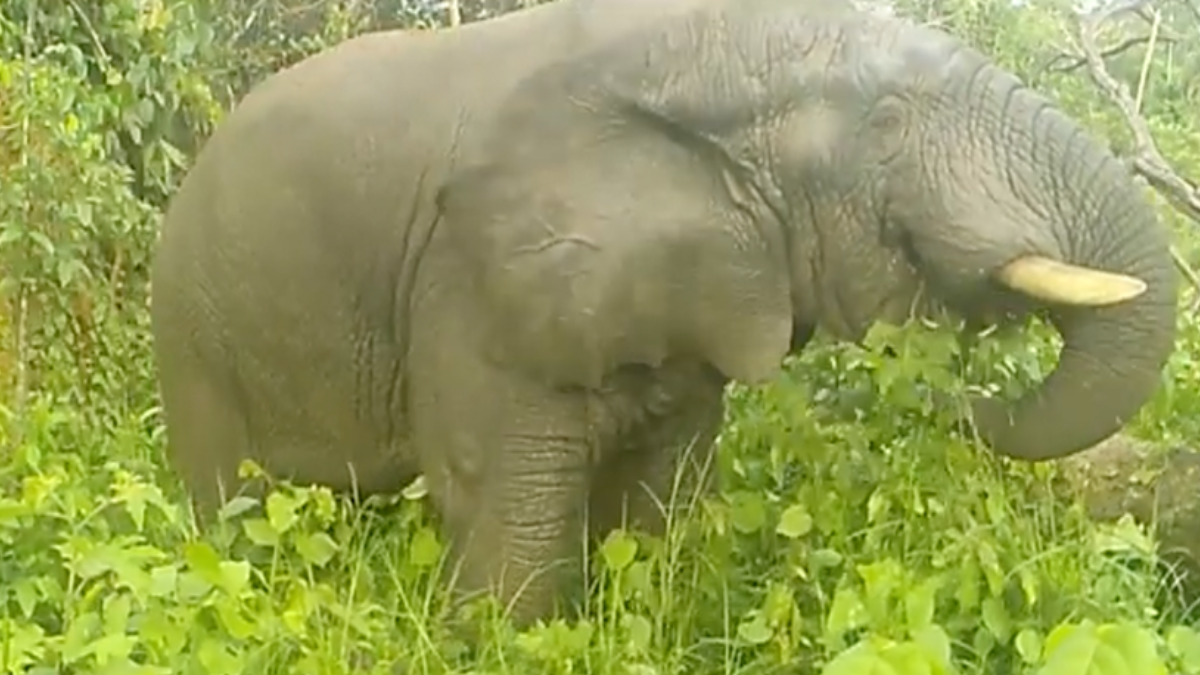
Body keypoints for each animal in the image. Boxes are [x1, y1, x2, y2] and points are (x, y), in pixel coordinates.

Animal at [148, 0, 1180, 626]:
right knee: (226, 502)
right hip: (193, 324)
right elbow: (507, 514)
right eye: (886, 122)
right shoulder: (466, 278)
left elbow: (663, 499)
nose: (953, 391)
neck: (693, 52)